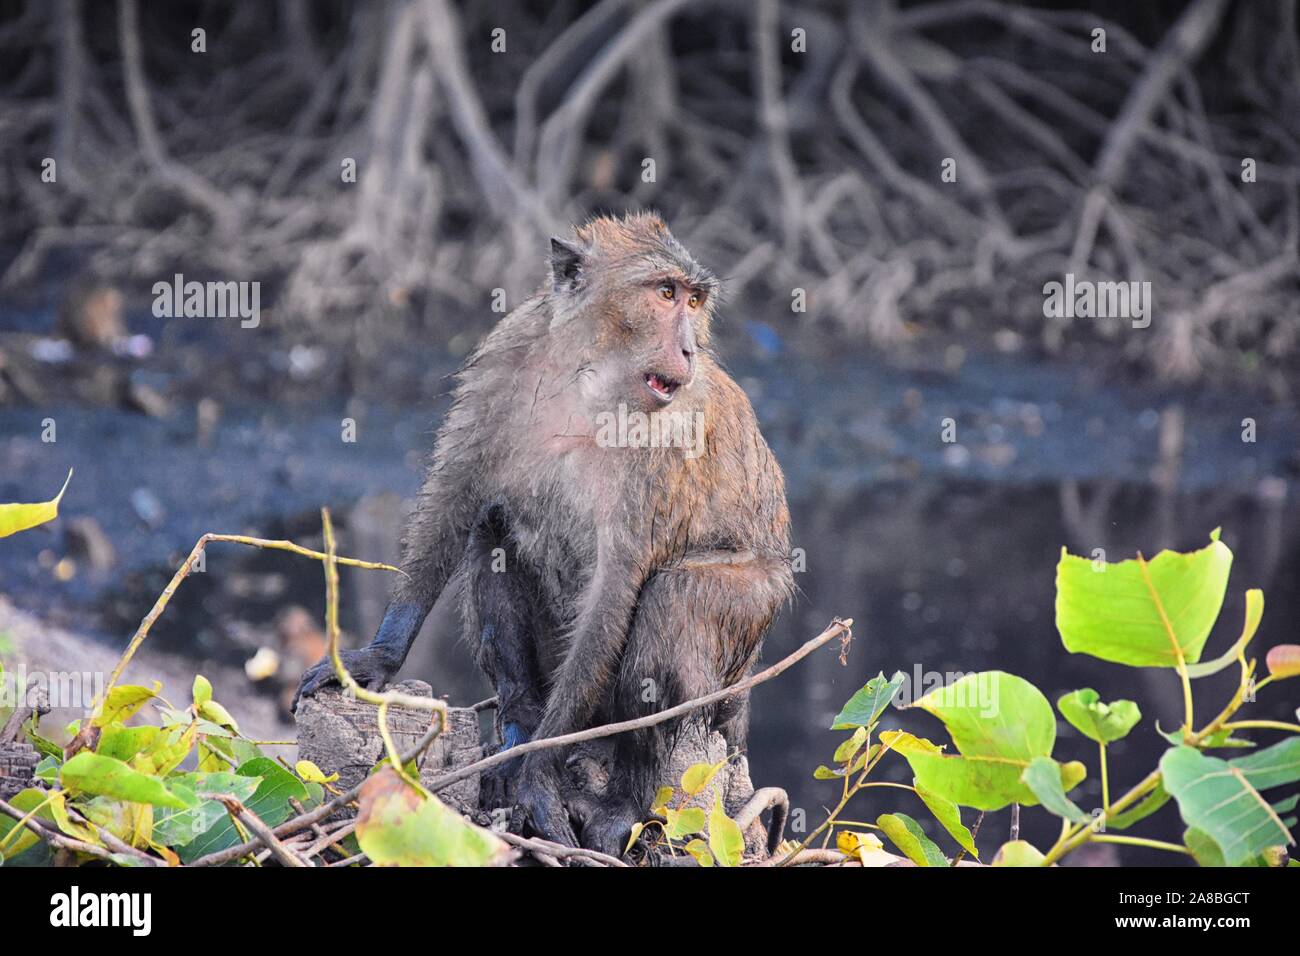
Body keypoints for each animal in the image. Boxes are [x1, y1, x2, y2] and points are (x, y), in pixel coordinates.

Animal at [294, 213, 794, 856]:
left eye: (694, 299)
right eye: (664, 293)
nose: (688, 347)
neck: (589, 374)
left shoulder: (663, 439)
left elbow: (616, 584)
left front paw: (539, 775)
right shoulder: (504, 360)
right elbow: (457, 497)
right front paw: (378, 657)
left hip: (744, 639)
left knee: (676, 600)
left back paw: (621, 799)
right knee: (495, 531)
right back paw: (518, 723)